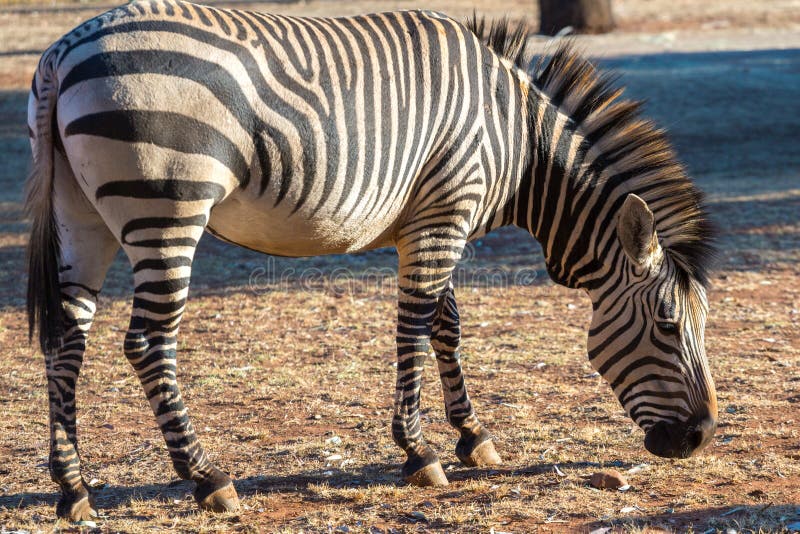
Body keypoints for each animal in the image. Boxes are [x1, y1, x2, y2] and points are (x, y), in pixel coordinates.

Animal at [26, 1, 718, 520]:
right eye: (667, 326)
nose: (701, 438)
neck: (518, 140)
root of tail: (64, 50)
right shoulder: (445, 213)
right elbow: (415, 326)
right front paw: (420, 453)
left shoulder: (427, 219)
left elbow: (446, 325)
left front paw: (473, 437)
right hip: (165, 204)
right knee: (147, 342)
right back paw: (206, 478)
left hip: (80, 214)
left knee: (66, 339)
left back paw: (73, 489)